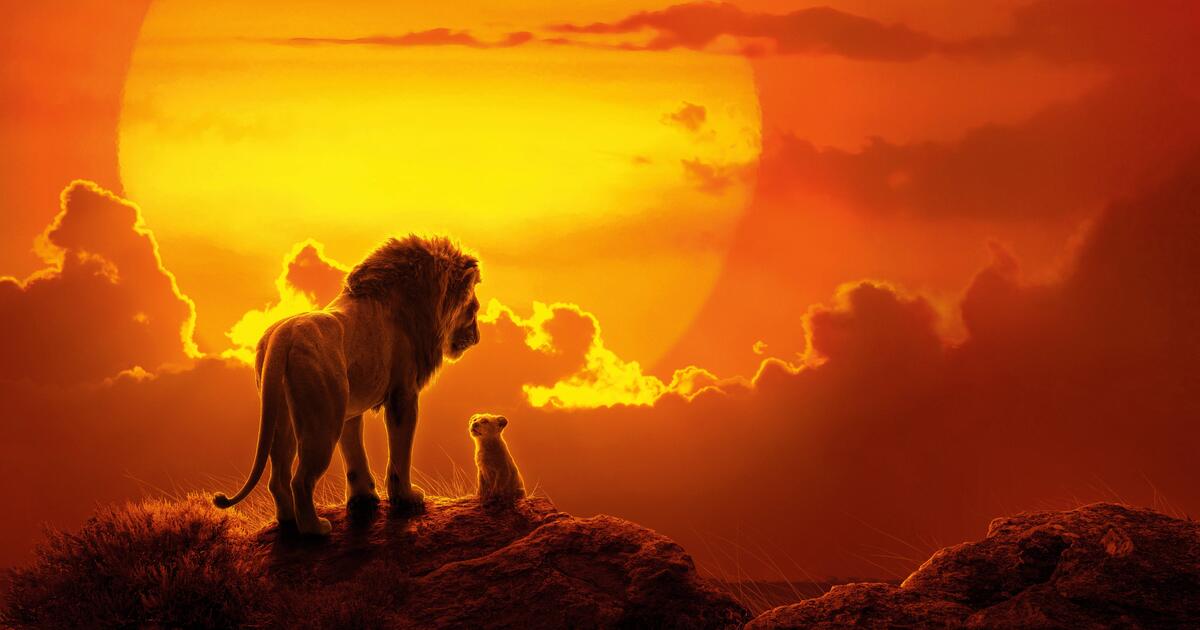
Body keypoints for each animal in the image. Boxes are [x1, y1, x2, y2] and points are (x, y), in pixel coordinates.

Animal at [213, 235, 482, 535]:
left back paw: (288, 521)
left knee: (279, 476)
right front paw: (406, 498)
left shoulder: (350, 408)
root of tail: (283, 335)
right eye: (473, 309)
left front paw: (364, 498)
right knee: (301, 480)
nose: (477, 337)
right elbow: (400, 451)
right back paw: (315, 530)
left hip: (283, 416)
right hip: (322, 420)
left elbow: (354, 453)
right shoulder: (403, 394)